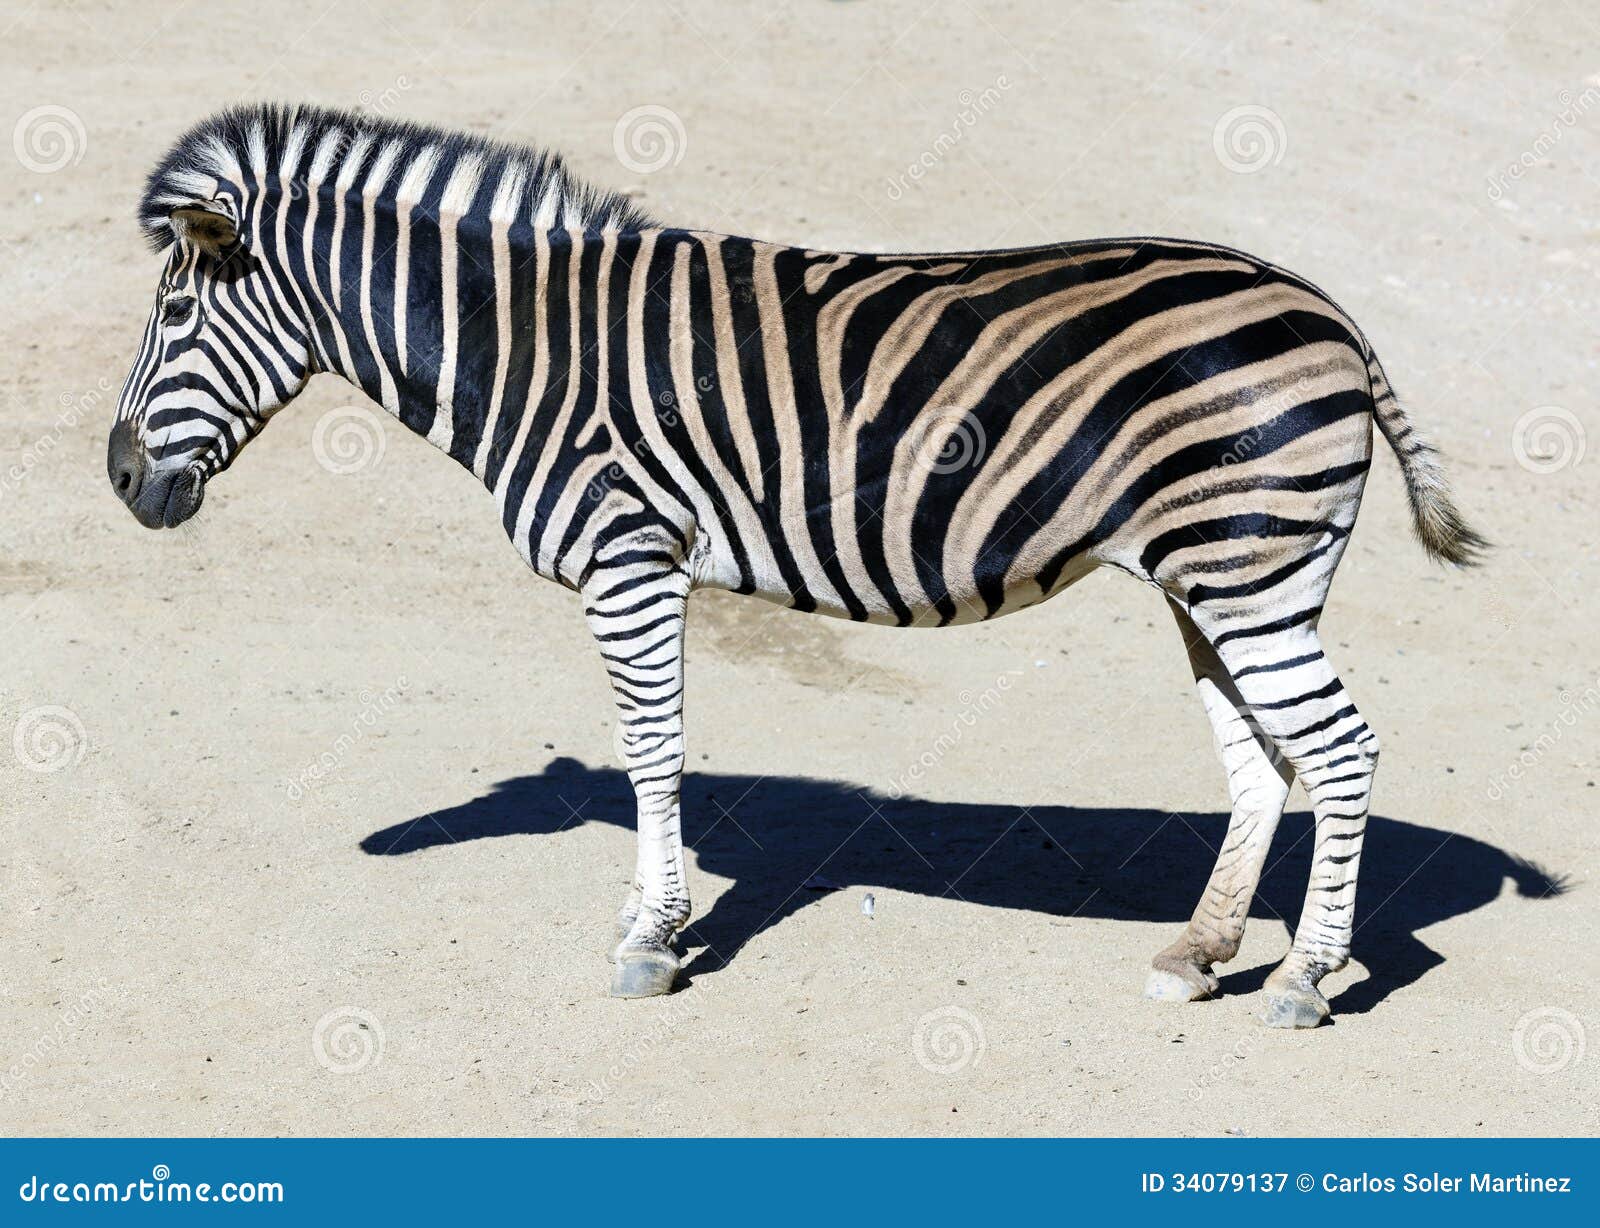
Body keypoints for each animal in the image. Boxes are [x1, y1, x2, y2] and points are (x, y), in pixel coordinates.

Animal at [107, 103, 1485, 1026]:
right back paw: (1199, 955)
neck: (537, 348)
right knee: (1264, 758)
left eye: (173, 313)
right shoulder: (641, 565)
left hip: (1250, 573)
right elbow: (654, 752)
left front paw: (650, 940)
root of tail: (1328, 311)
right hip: (1215, 579)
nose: (120, 483)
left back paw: (1303, 976)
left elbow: (653, 750)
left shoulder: (630, 556)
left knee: (1341, 749)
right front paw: (654, 923)